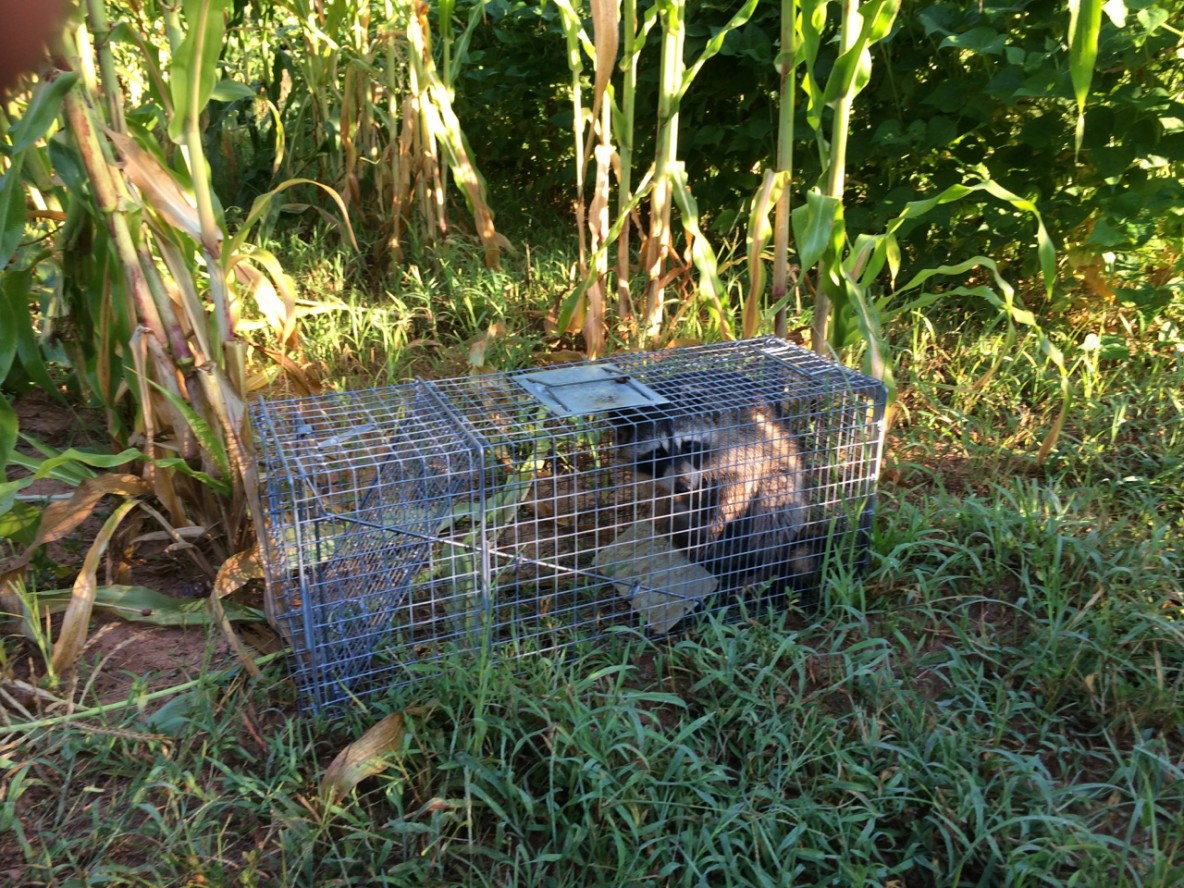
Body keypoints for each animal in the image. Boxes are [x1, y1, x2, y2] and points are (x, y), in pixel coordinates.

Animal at [610, 370, 820, 605]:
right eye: (658, 453)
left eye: (689, 446)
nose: (683, 487)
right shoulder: (652, 479)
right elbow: (659, 501)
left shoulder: (742, 443)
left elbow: (741, 484)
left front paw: (716, 521)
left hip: (786, 479)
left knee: (774, 503)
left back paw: (765, 567)